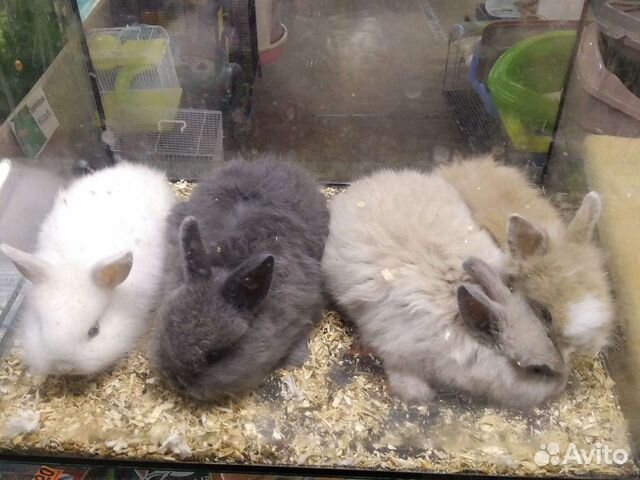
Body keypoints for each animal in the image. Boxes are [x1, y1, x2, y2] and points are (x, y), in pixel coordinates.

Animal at [322, 169, 568, 408]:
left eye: (549, 333)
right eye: (536, 369)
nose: (562, 386)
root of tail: (362, 183)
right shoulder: (398, 355)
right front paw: (419, 396)